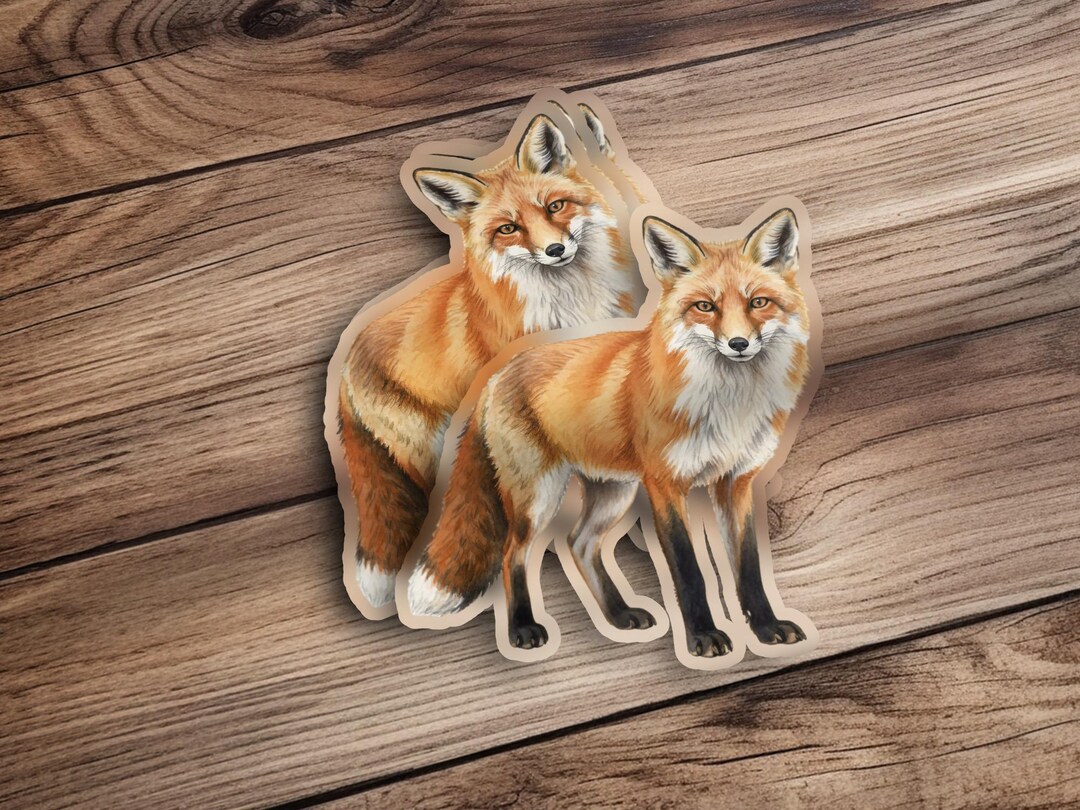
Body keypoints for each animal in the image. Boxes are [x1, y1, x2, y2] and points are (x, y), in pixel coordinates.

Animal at [335, 110, 645, 616]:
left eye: (555, 207)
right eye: (508, 229)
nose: (555, 251)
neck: (572, 302)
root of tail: (346, 357)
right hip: (421, 459)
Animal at [406, 206, 815, 662]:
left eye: (758, 302)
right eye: (705, 307)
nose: (739, 344)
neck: (730, 405)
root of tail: (496, 375)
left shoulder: (736, 481)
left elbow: (747, 567)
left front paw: (766, 627)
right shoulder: (665, 483)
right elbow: (689, 570)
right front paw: (703, 637)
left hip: (612, 491)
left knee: (579, 543)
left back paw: (619, 616)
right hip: (538, 497)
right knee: (514, 554)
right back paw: (523, 628)